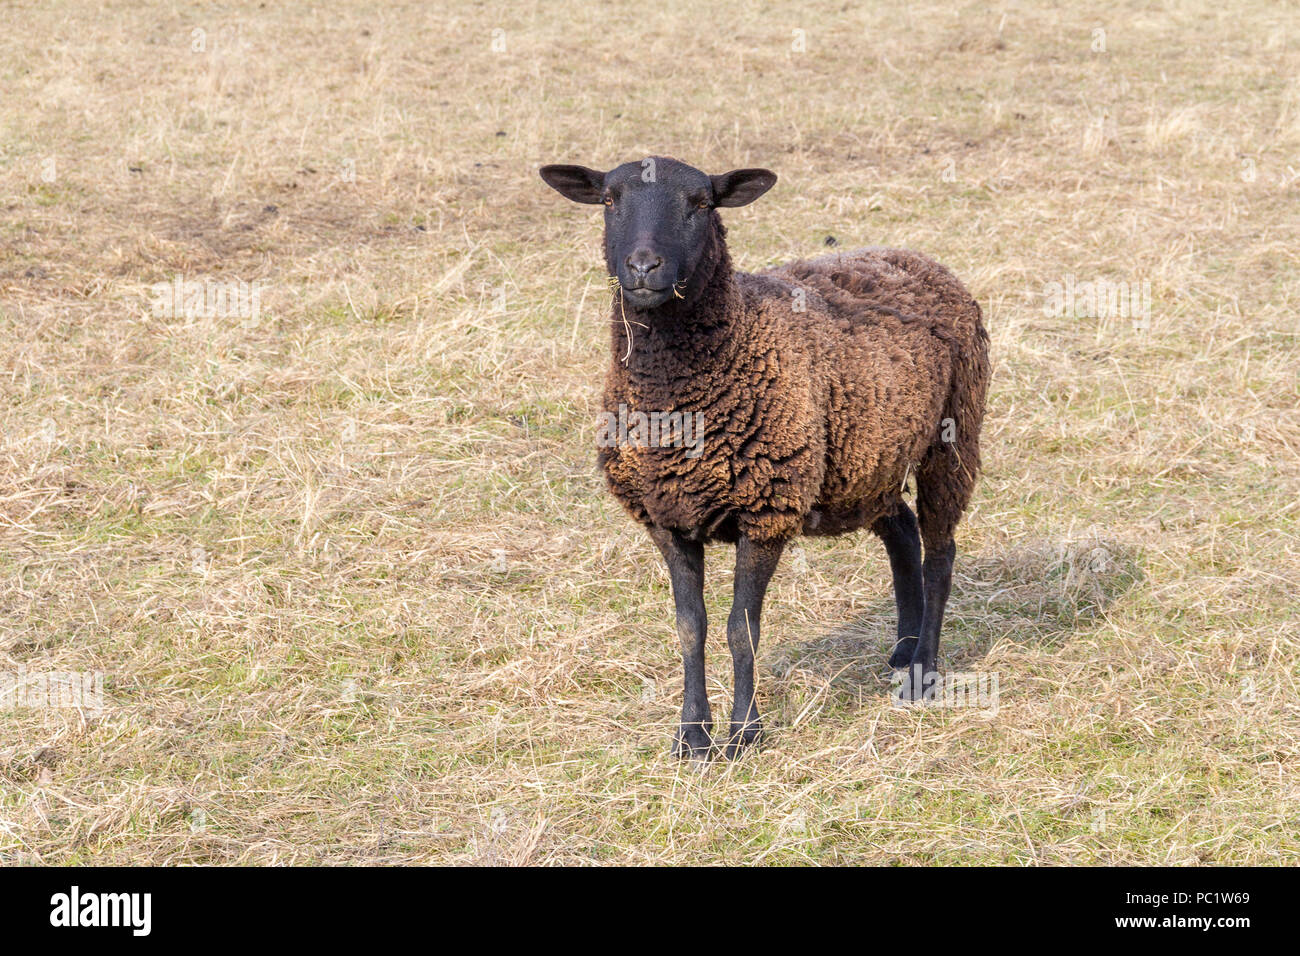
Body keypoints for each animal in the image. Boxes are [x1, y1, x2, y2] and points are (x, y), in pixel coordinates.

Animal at [540, 156, 990, 759]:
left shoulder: (766, 511)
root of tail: (920, 257)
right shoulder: (666, 518)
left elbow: (741, 630)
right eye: (609, 200)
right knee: (901, 531)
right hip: (869, 458)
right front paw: (692, 735)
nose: (643, 267)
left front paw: (743, 733)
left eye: (701, 203)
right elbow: (691, 627)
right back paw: (903, 647)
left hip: (955, 435)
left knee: (940, 551)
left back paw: (922, 672)